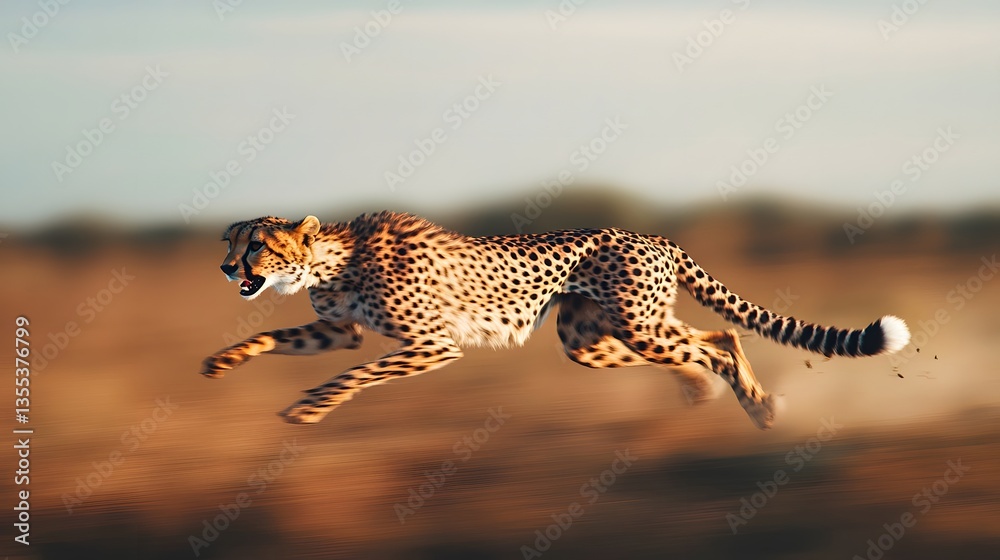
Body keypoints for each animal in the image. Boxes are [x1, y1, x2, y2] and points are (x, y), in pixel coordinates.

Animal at [201, 211, 910, 429]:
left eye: (256, 244)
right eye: (230, 241)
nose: (227, 270)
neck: (328, 261)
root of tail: (651, 233)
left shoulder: (435, 345)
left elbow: (356, 375)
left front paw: (308, 408)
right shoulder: (339, 329)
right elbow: (274, 335)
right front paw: (222, 360)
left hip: (635, 327)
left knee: (715, 342)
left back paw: (747, 401)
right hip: (590, 339)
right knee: (716, 335)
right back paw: (727, 397)